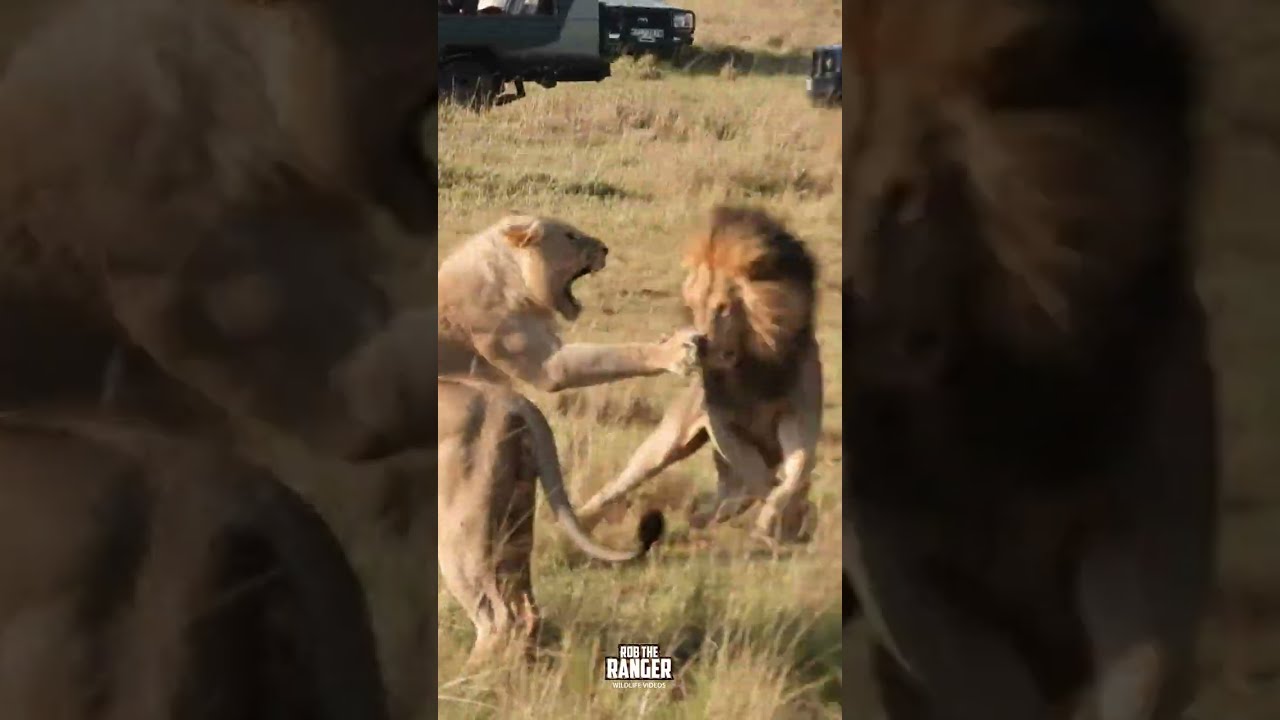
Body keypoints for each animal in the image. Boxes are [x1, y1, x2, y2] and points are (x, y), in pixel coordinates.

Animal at [438, 377, 663, 662]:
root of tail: (516, 400)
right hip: (515, 527)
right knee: (527, 611)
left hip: (462, 537)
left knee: (498, 618)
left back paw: (471, 671)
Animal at [576, 206, 824, 545]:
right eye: (693, 306)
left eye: (723, 308)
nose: (699, 343)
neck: (749, 370)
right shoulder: (720, 422)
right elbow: (757, 475)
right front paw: (776, 521)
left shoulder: (798, 417)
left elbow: (795, 472)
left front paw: (782, 517)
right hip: (665, 442)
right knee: (622, 484)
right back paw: (582, 521)